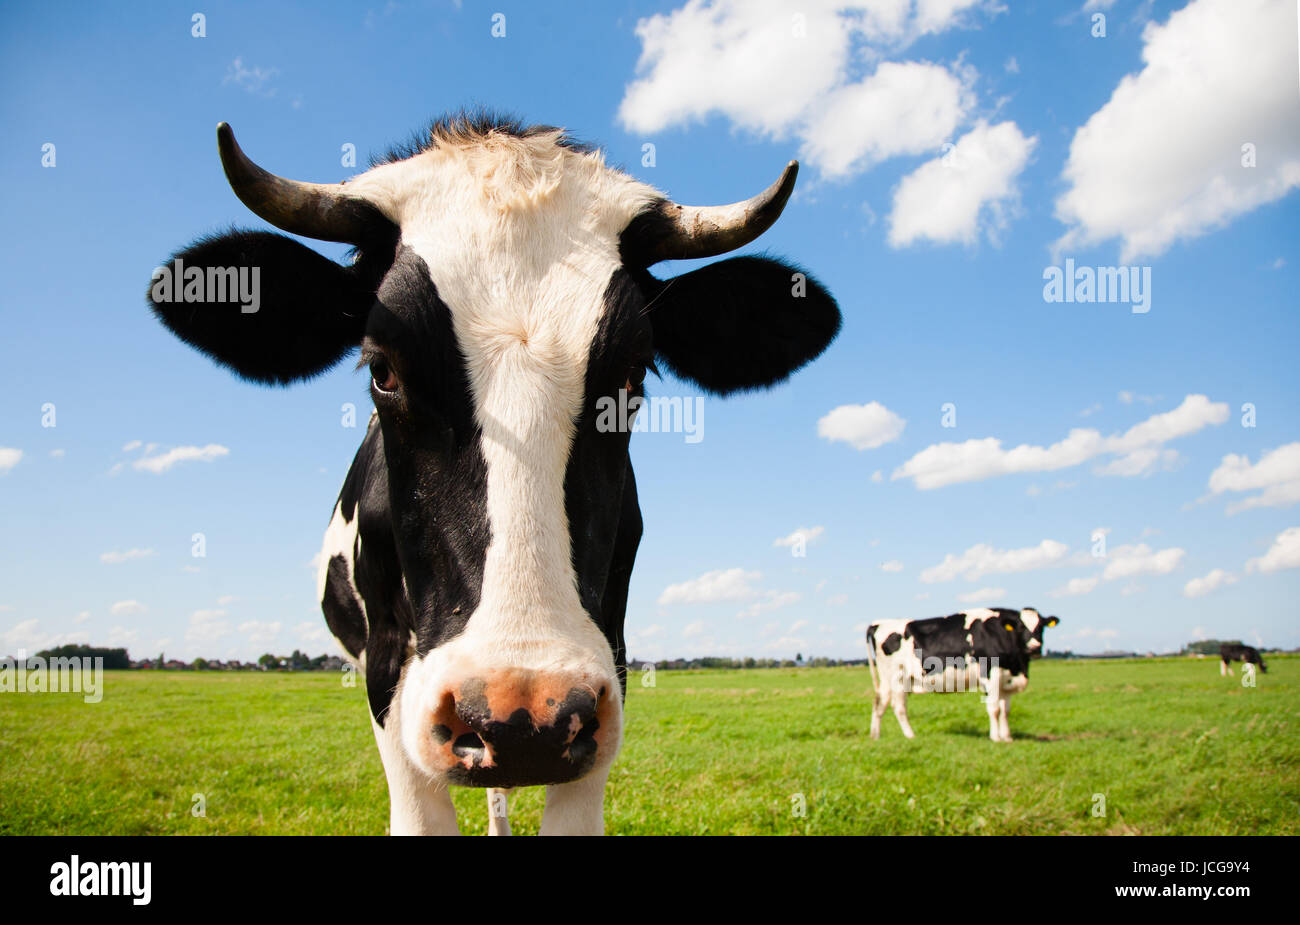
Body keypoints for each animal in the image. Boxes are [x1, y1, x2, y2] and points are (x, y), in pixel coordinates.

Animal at [865, 607, 1060, 743]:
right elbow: (994, 708)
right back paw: (910, 735)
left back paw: (875, 735)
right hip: (896, 677)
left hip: (895, 680)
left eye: (1041, 627)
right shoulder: (990, 674)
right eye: (1020, 628)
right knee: (897, 707)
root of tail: (878, 624)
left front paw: (1007, 737)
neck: (1018, 665)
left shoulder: (1006, 680)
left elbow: (1006, 711)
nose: (1034, 648)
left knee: (880, 703)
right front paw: (996, 738)